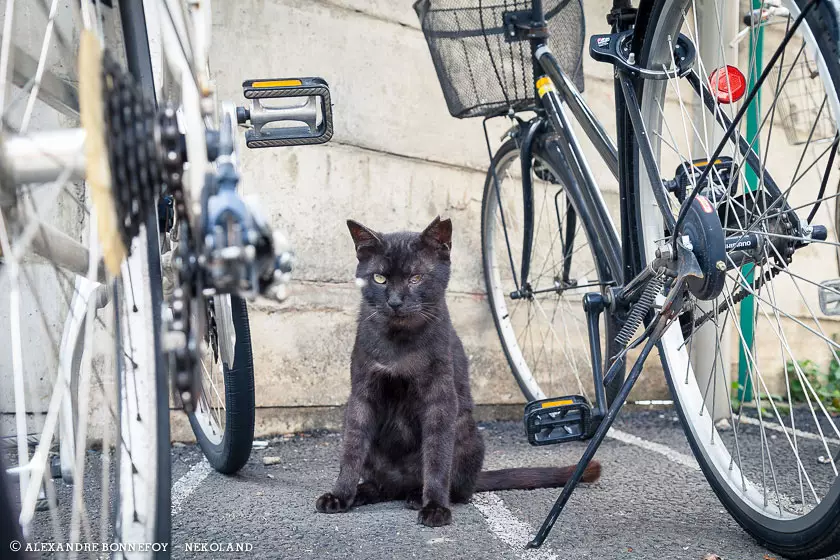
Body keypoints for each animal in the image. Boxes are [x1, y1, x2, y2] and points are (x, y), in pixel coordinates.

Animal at [314, 217, 596, 528]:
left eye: (416, 278)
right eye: (379, 278)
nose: (395, 302)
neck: (399, 342)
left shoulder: (440, 398)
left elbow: (437, 456)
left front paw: (435, 506)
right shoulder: (362, 394)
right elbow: (352, 449)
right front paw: (340, 495)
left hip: (467, 434)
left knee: (458, 489)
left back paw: (417, 495)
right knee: (382, 485)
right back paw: (364, 492)